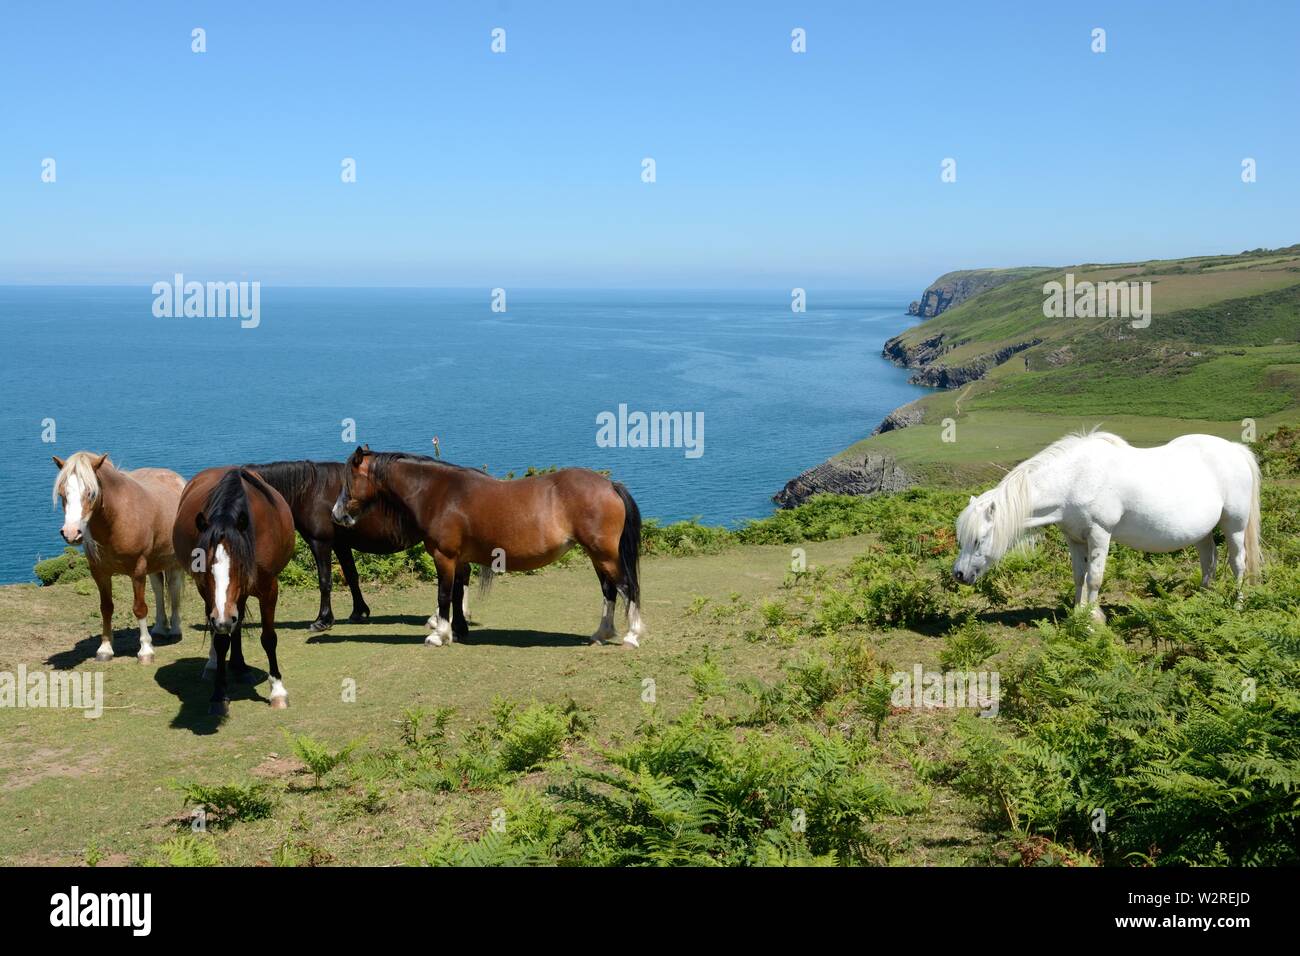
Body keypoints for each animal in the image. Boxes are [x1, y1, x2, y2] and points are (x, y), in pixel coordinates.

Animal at [52, 452, 186, 664]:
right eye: (62, 494)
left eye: (91, 493)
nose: (71, 533)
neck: (116, 520)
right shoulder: (100, 573)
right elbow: (106, 608)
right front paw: (105, 649)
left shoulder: (137, 570)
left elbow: (139, 608)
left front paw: (145, 651)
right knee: (158, 588)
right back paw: (158, 628)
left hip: (173, 561)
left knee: (173, 588)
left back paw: (175, 629)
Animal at [172, 467, 296, 715]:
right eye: (202, 565)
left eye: (240, 564)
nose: (222, 618)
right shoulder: (210, 597)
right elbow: (221, 640)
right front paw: (219, 694)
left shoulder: (269, 588)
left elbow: (269, 638)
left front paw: (277, 691)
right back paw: (215, 665)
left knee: (236, 623)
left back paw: (240, 666)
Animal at [245, 458, 437, 632]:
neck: (310, 492)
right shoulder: (341, 544)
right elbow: (351, 575)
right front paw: (359, 612)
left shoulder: (321, 543)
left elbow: (324, 580)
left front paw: (323, 620)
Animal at [330, 446, 644, 647]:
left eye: (349, 479)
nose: (337, 514)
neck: (439, 494)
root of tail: (609, 485)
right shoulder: (458, 559)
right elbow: (457, 593)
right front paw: (456, 630)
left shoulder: (444, 557)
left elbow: (444, 594)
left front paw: (438, 635)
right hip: (597, 555)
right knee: (609, 590)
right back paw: (601, 634)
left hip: (604, 555)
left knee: (625, 587)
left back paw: (632, 636)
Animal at [952, 430, 1263, 620]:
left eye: (979, 539)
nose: (959, 574)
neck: (1075, 478)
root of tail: (1236, 450)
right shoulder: (1074, 539)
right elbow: (1079, 575)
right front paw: (1077, 614)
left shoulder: (1100, 534)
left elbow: (1095, 577)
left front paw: (1092, 619)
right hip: (1203, 532)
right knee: (1209, 561)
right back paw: (1203, 600)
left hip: (1234, 525)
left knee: (1238, 563)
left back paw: (1237, 605)